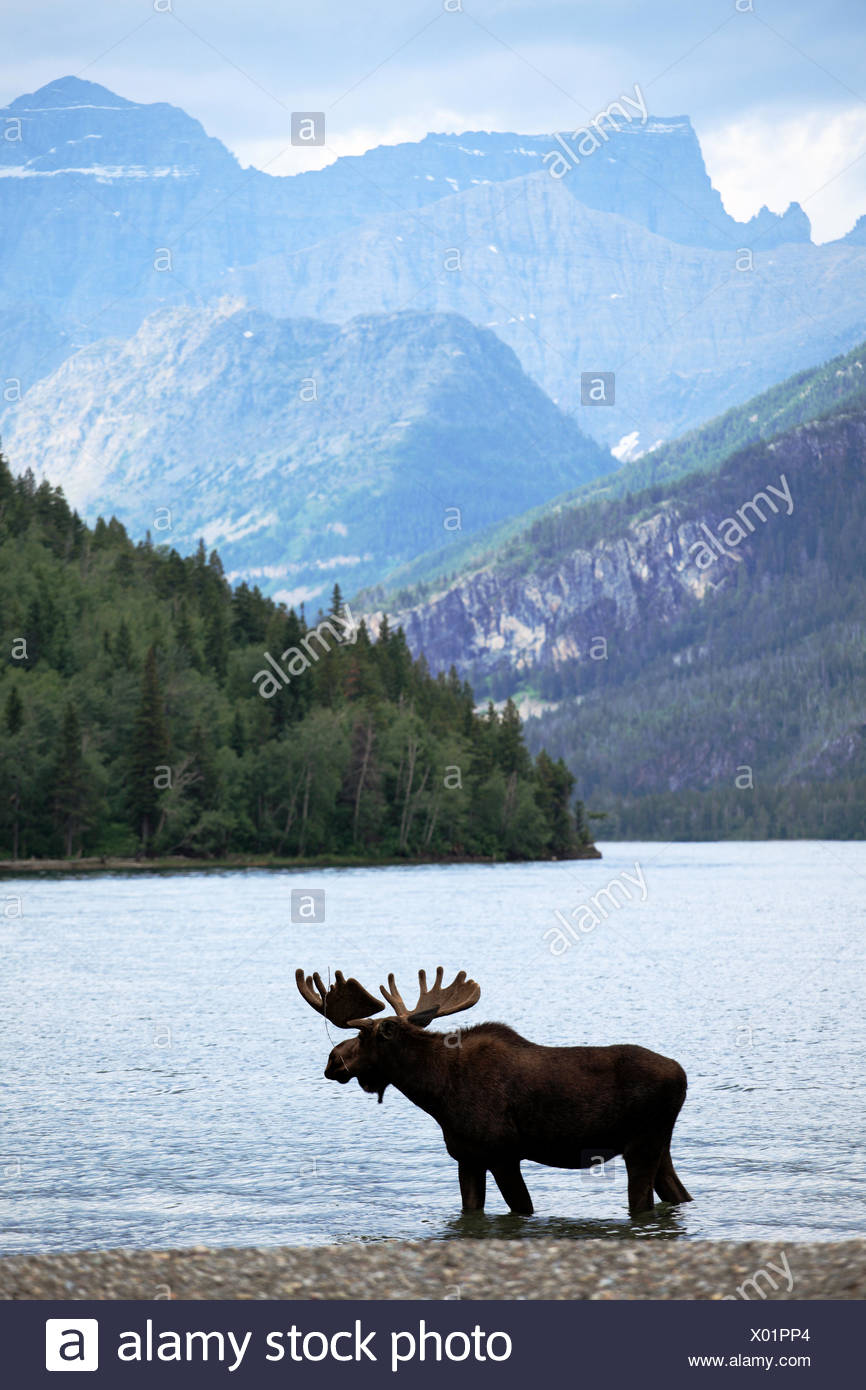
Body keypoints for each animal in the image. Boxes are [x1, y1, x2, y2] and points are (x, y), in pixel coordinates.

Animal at [296, 966, 692, 1217]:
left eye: (363, 1036)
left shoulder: (503, 1154)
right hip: (660, 1145)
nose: (332, 1061)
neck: (435, 1092)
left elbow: (522, 1209)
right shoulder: (467, 1158)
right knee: (678, 1193)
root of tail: (683, 1076)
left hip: (641, 1145)